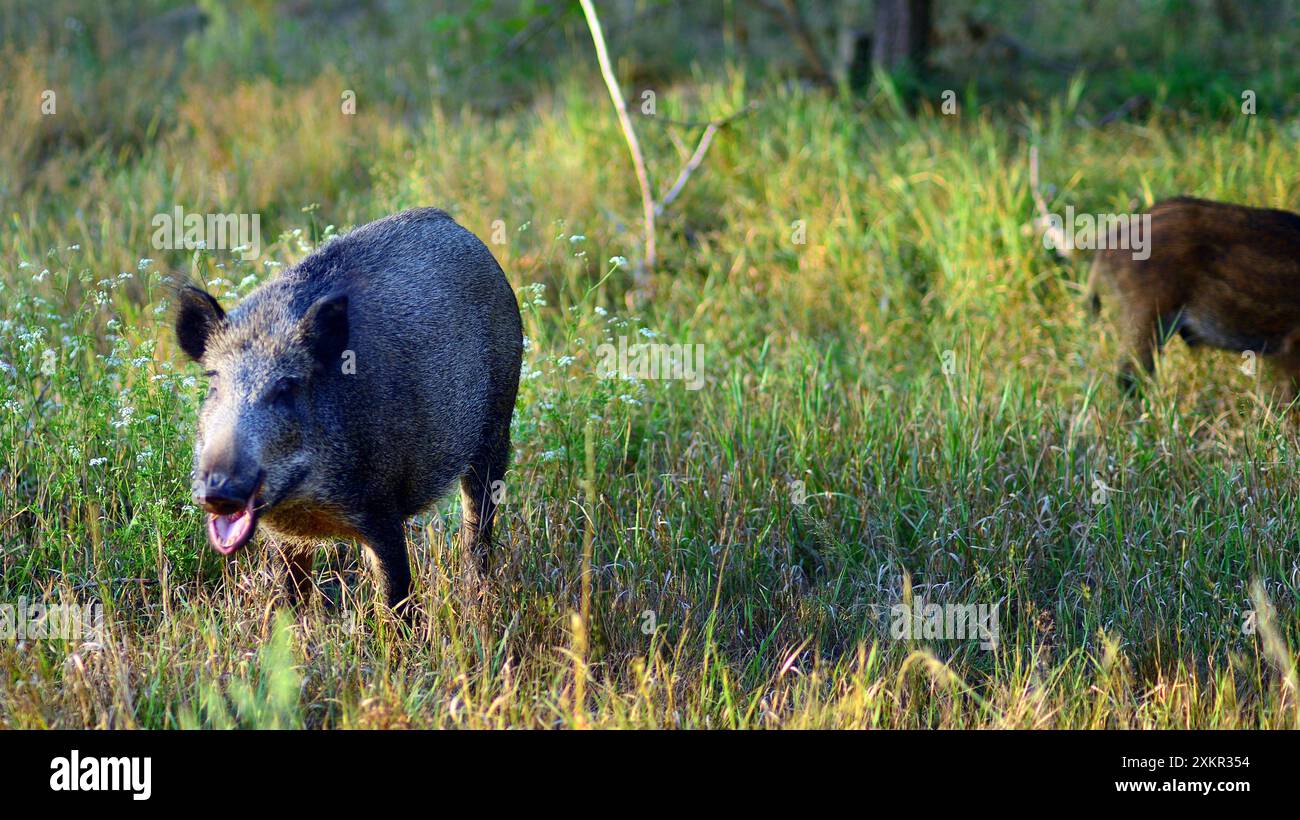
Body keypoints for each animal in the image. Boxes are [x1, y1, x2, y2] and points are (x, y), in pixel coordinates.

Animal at [174, 208, 523, 615]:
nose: (219, 490)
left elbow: (396, 598)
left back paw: (478, 597)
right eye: (213, 383)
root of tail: (457, 227)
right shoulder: (286, 535)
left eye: (287, 387)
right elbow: (290, 596)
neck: (306, 505)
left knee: (478, 529)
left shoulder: (383, 507)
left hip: (497, 425)